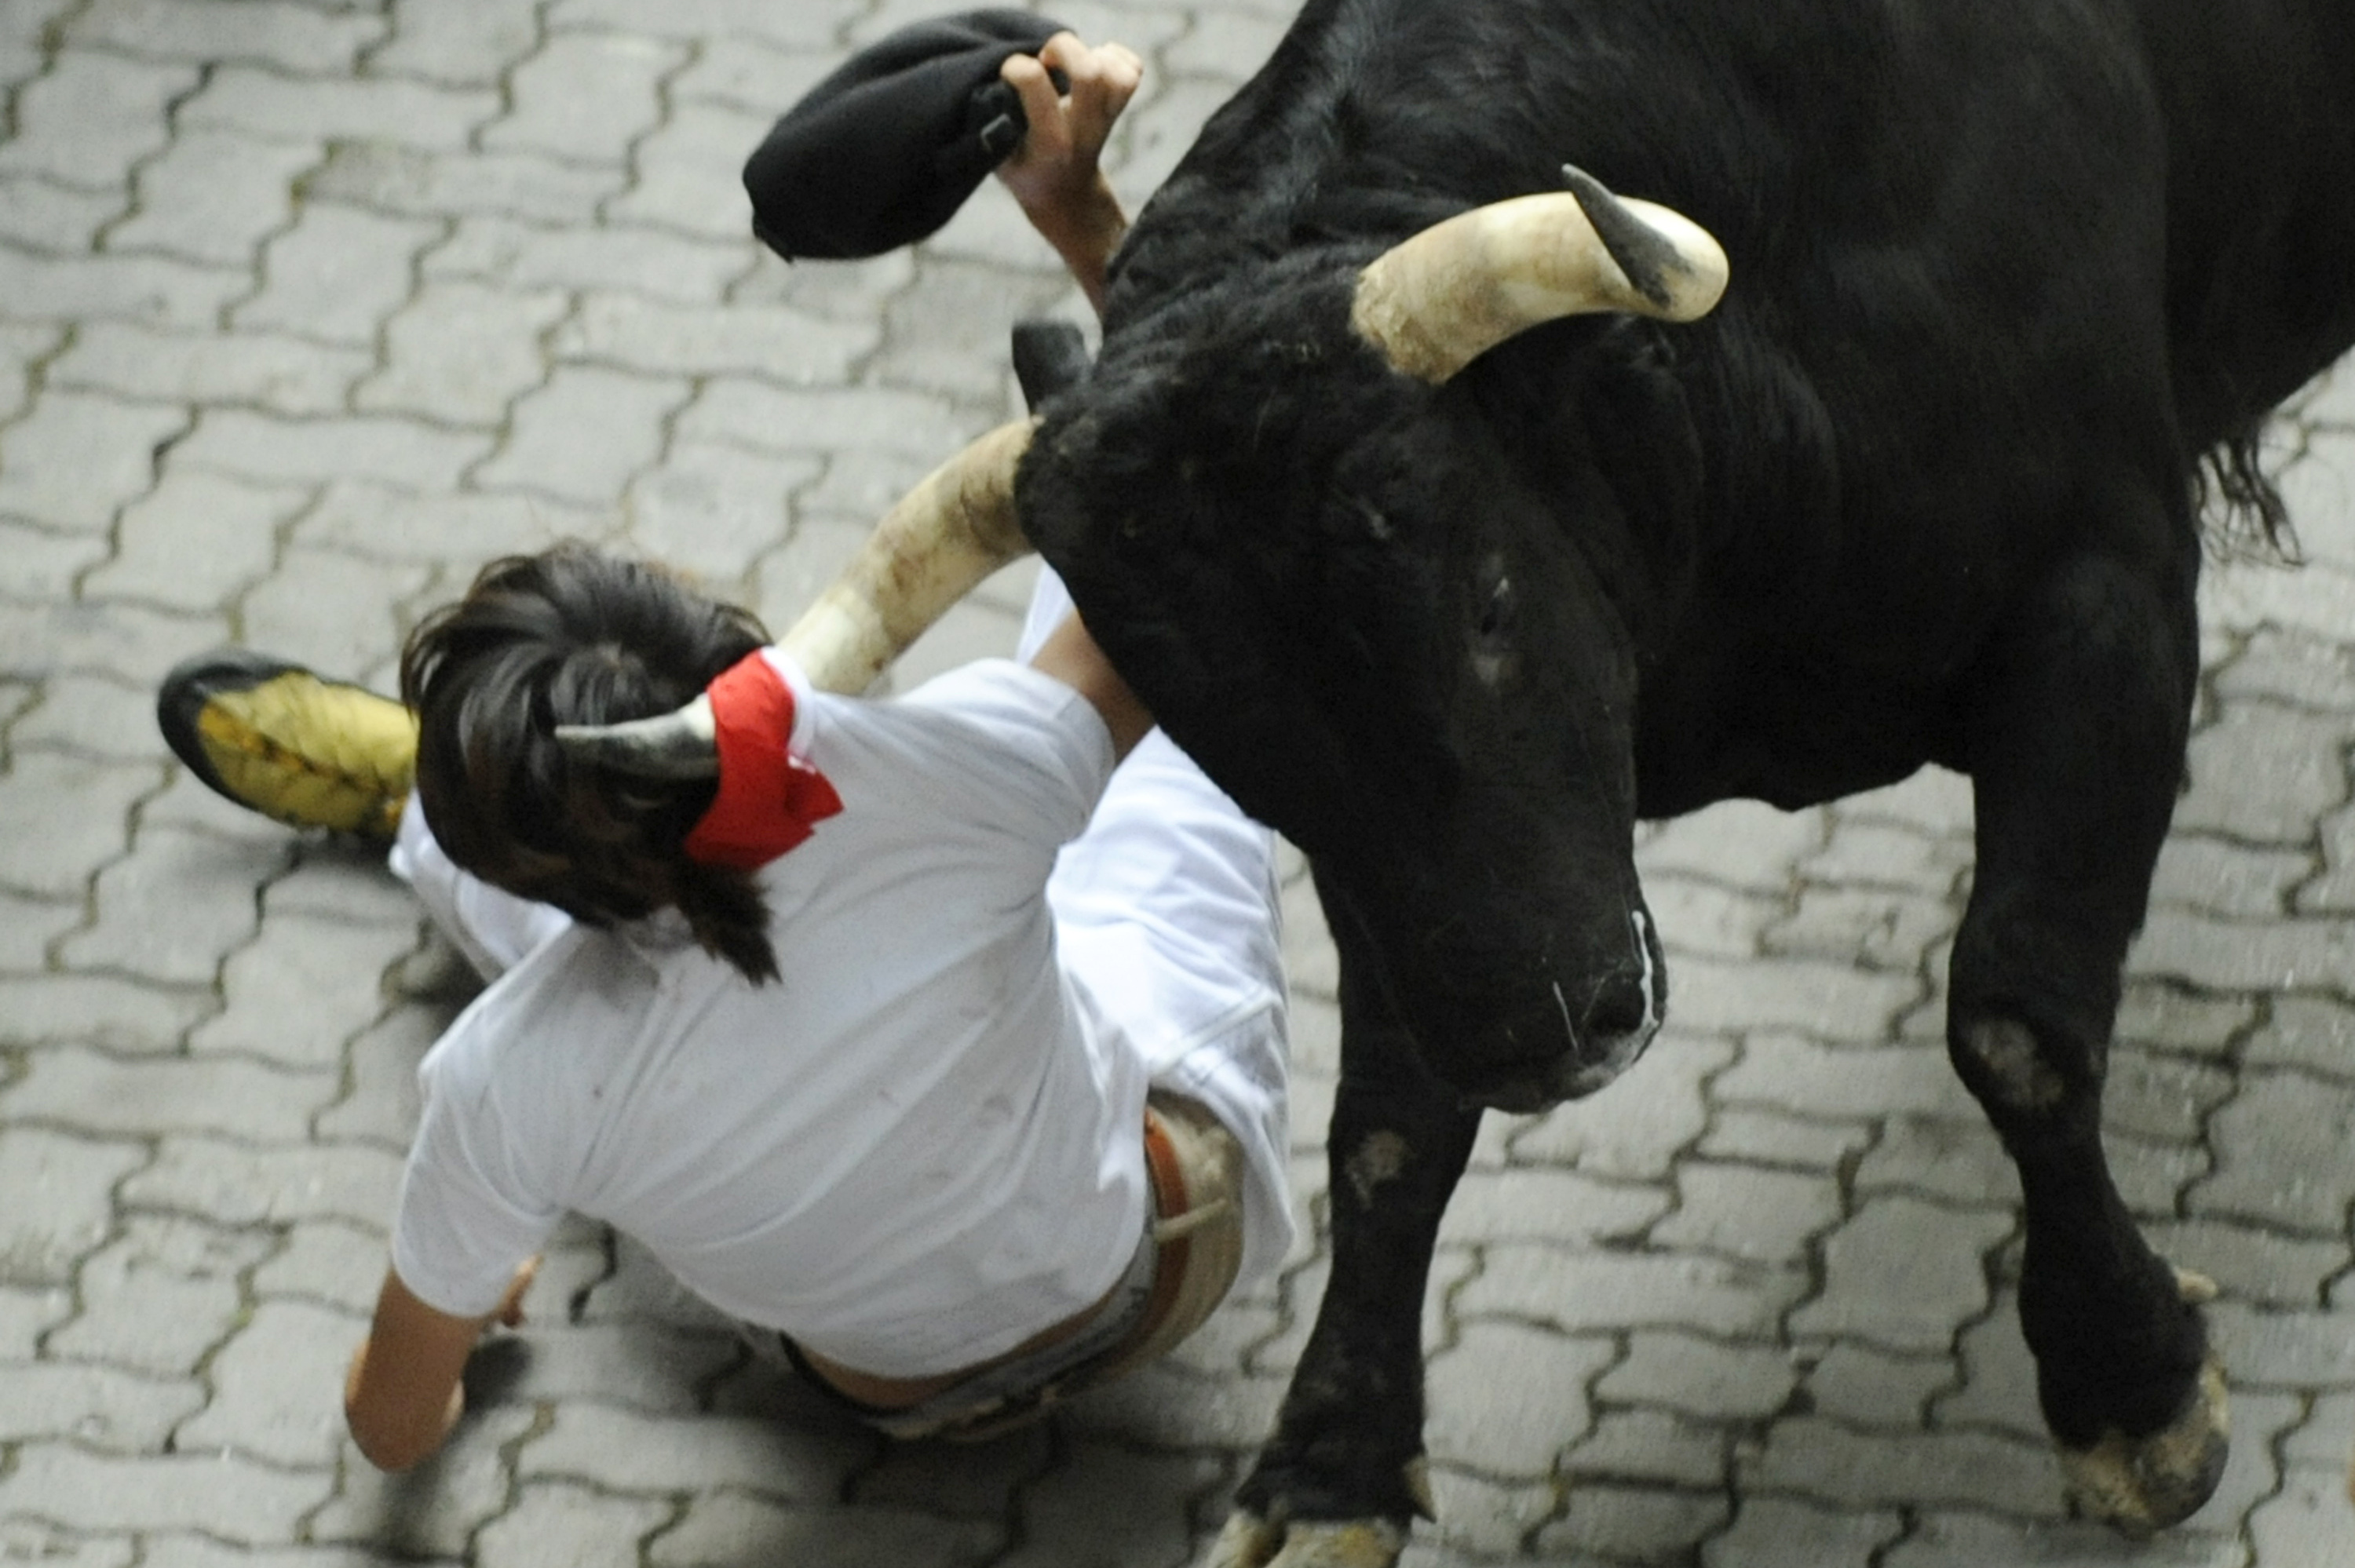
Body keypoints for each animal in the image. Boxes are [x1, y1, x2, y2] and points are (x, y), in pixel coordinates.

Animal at [977, 0, 2355, 1562]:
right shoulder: (1413, 892)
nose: (1541, 1035)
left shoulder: (2107, 597)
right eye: (1191, 708)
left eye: (1491, 598)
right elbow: (1390, 1119)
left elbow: (2016, 1023)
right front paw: (1328, 1464)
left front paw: (2134, 1389)